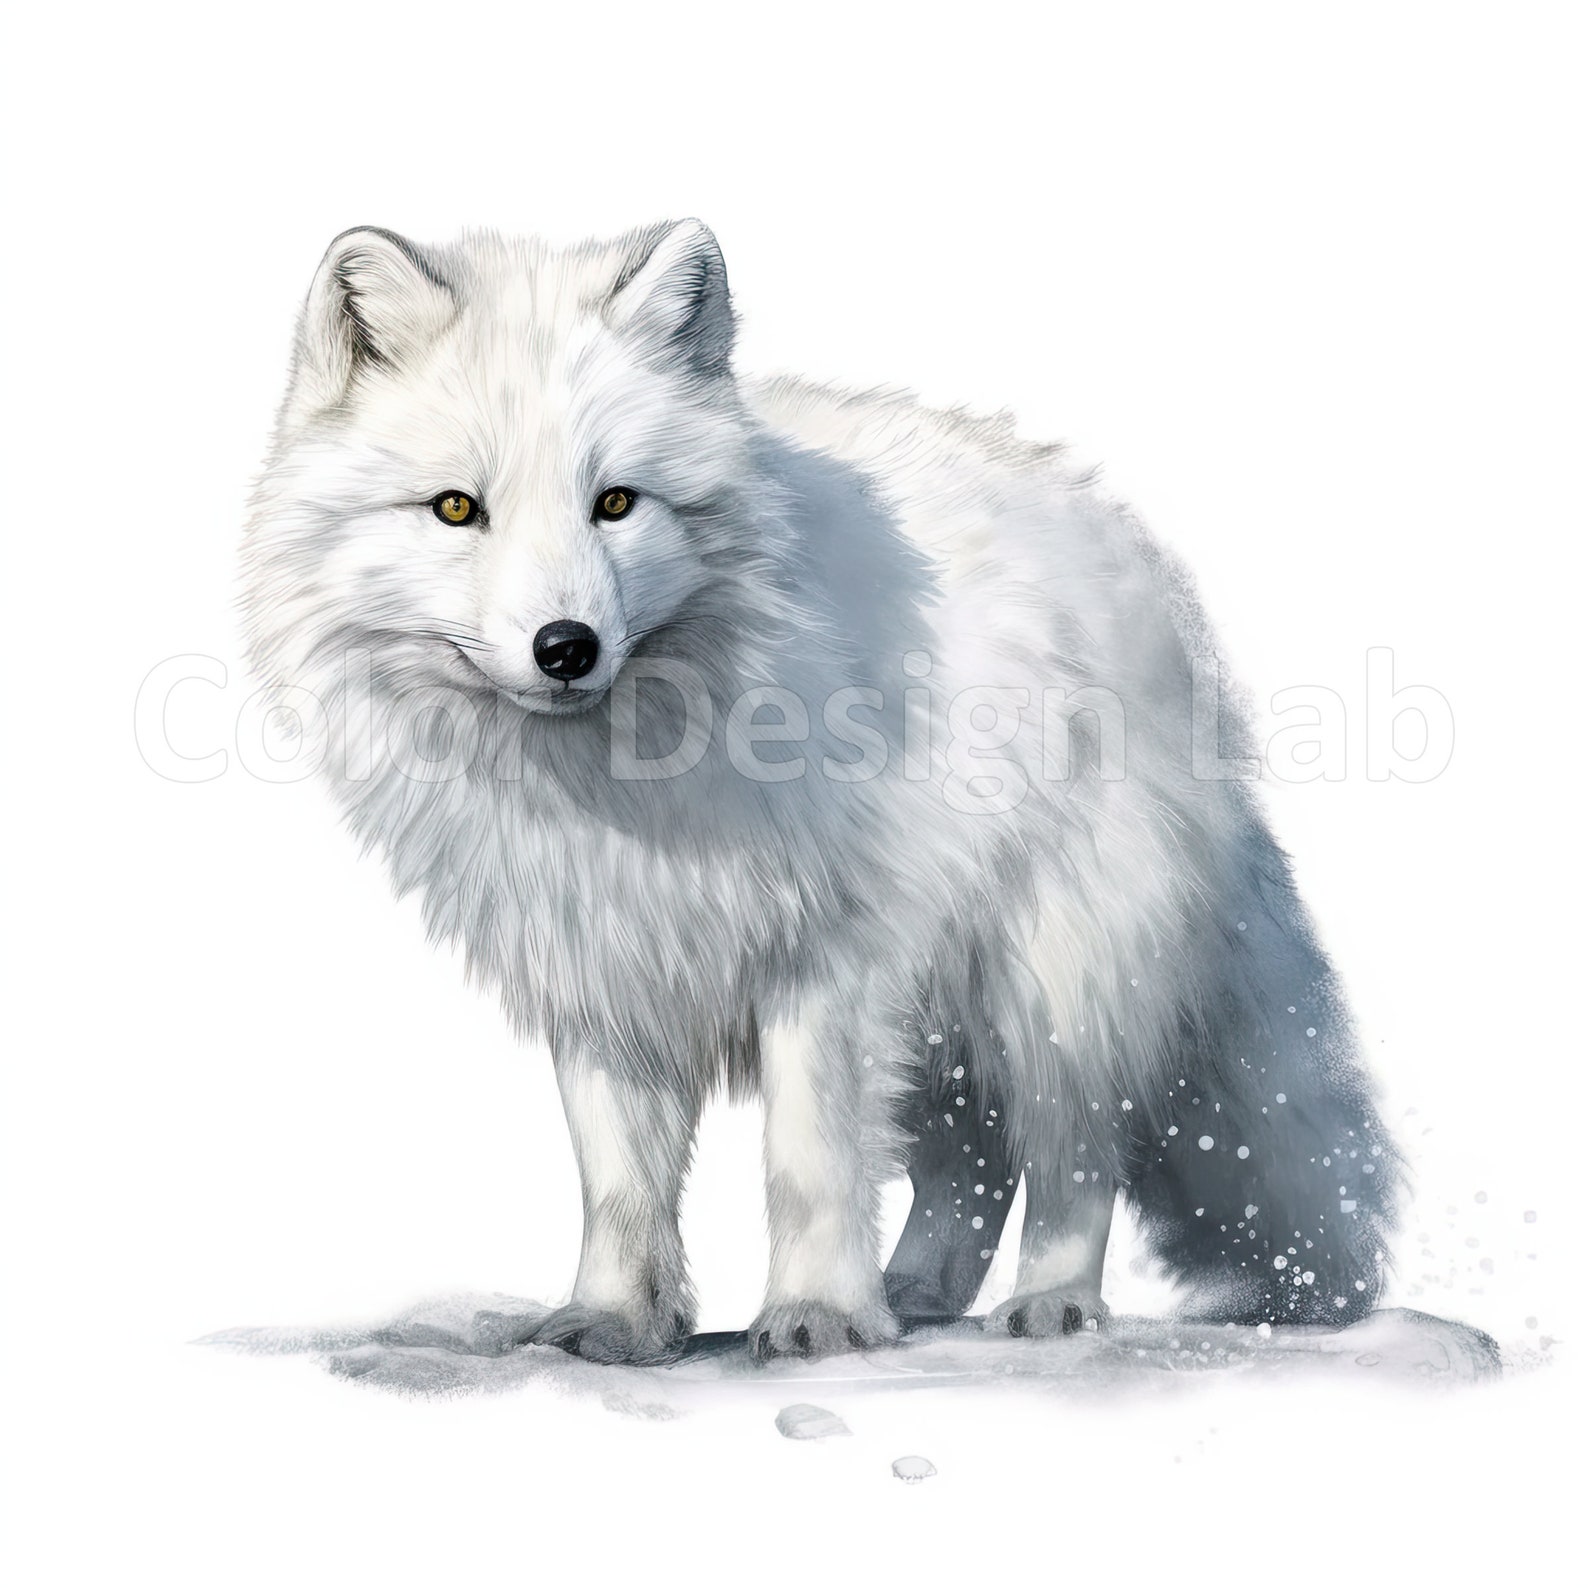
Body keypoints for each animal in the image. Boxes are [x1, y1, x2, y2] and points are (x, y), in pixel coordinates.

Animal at [242, 219, 1400, 1364]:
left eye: (615, 502)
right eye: (455, 508)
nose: (566, 647)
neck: (626, 784)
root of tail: (1137, 563)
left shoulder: (828, 962)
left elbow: (811, 1163)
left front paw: (819, 1315)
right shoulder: (606, 965)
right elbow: (620, 1185)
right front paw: (615, 1319)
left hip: (1048, 981)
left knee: (1073, 1151)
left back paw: (1049, 1300)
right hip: (943, 1019)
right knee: (973, 1161)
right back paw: (920, 1291)